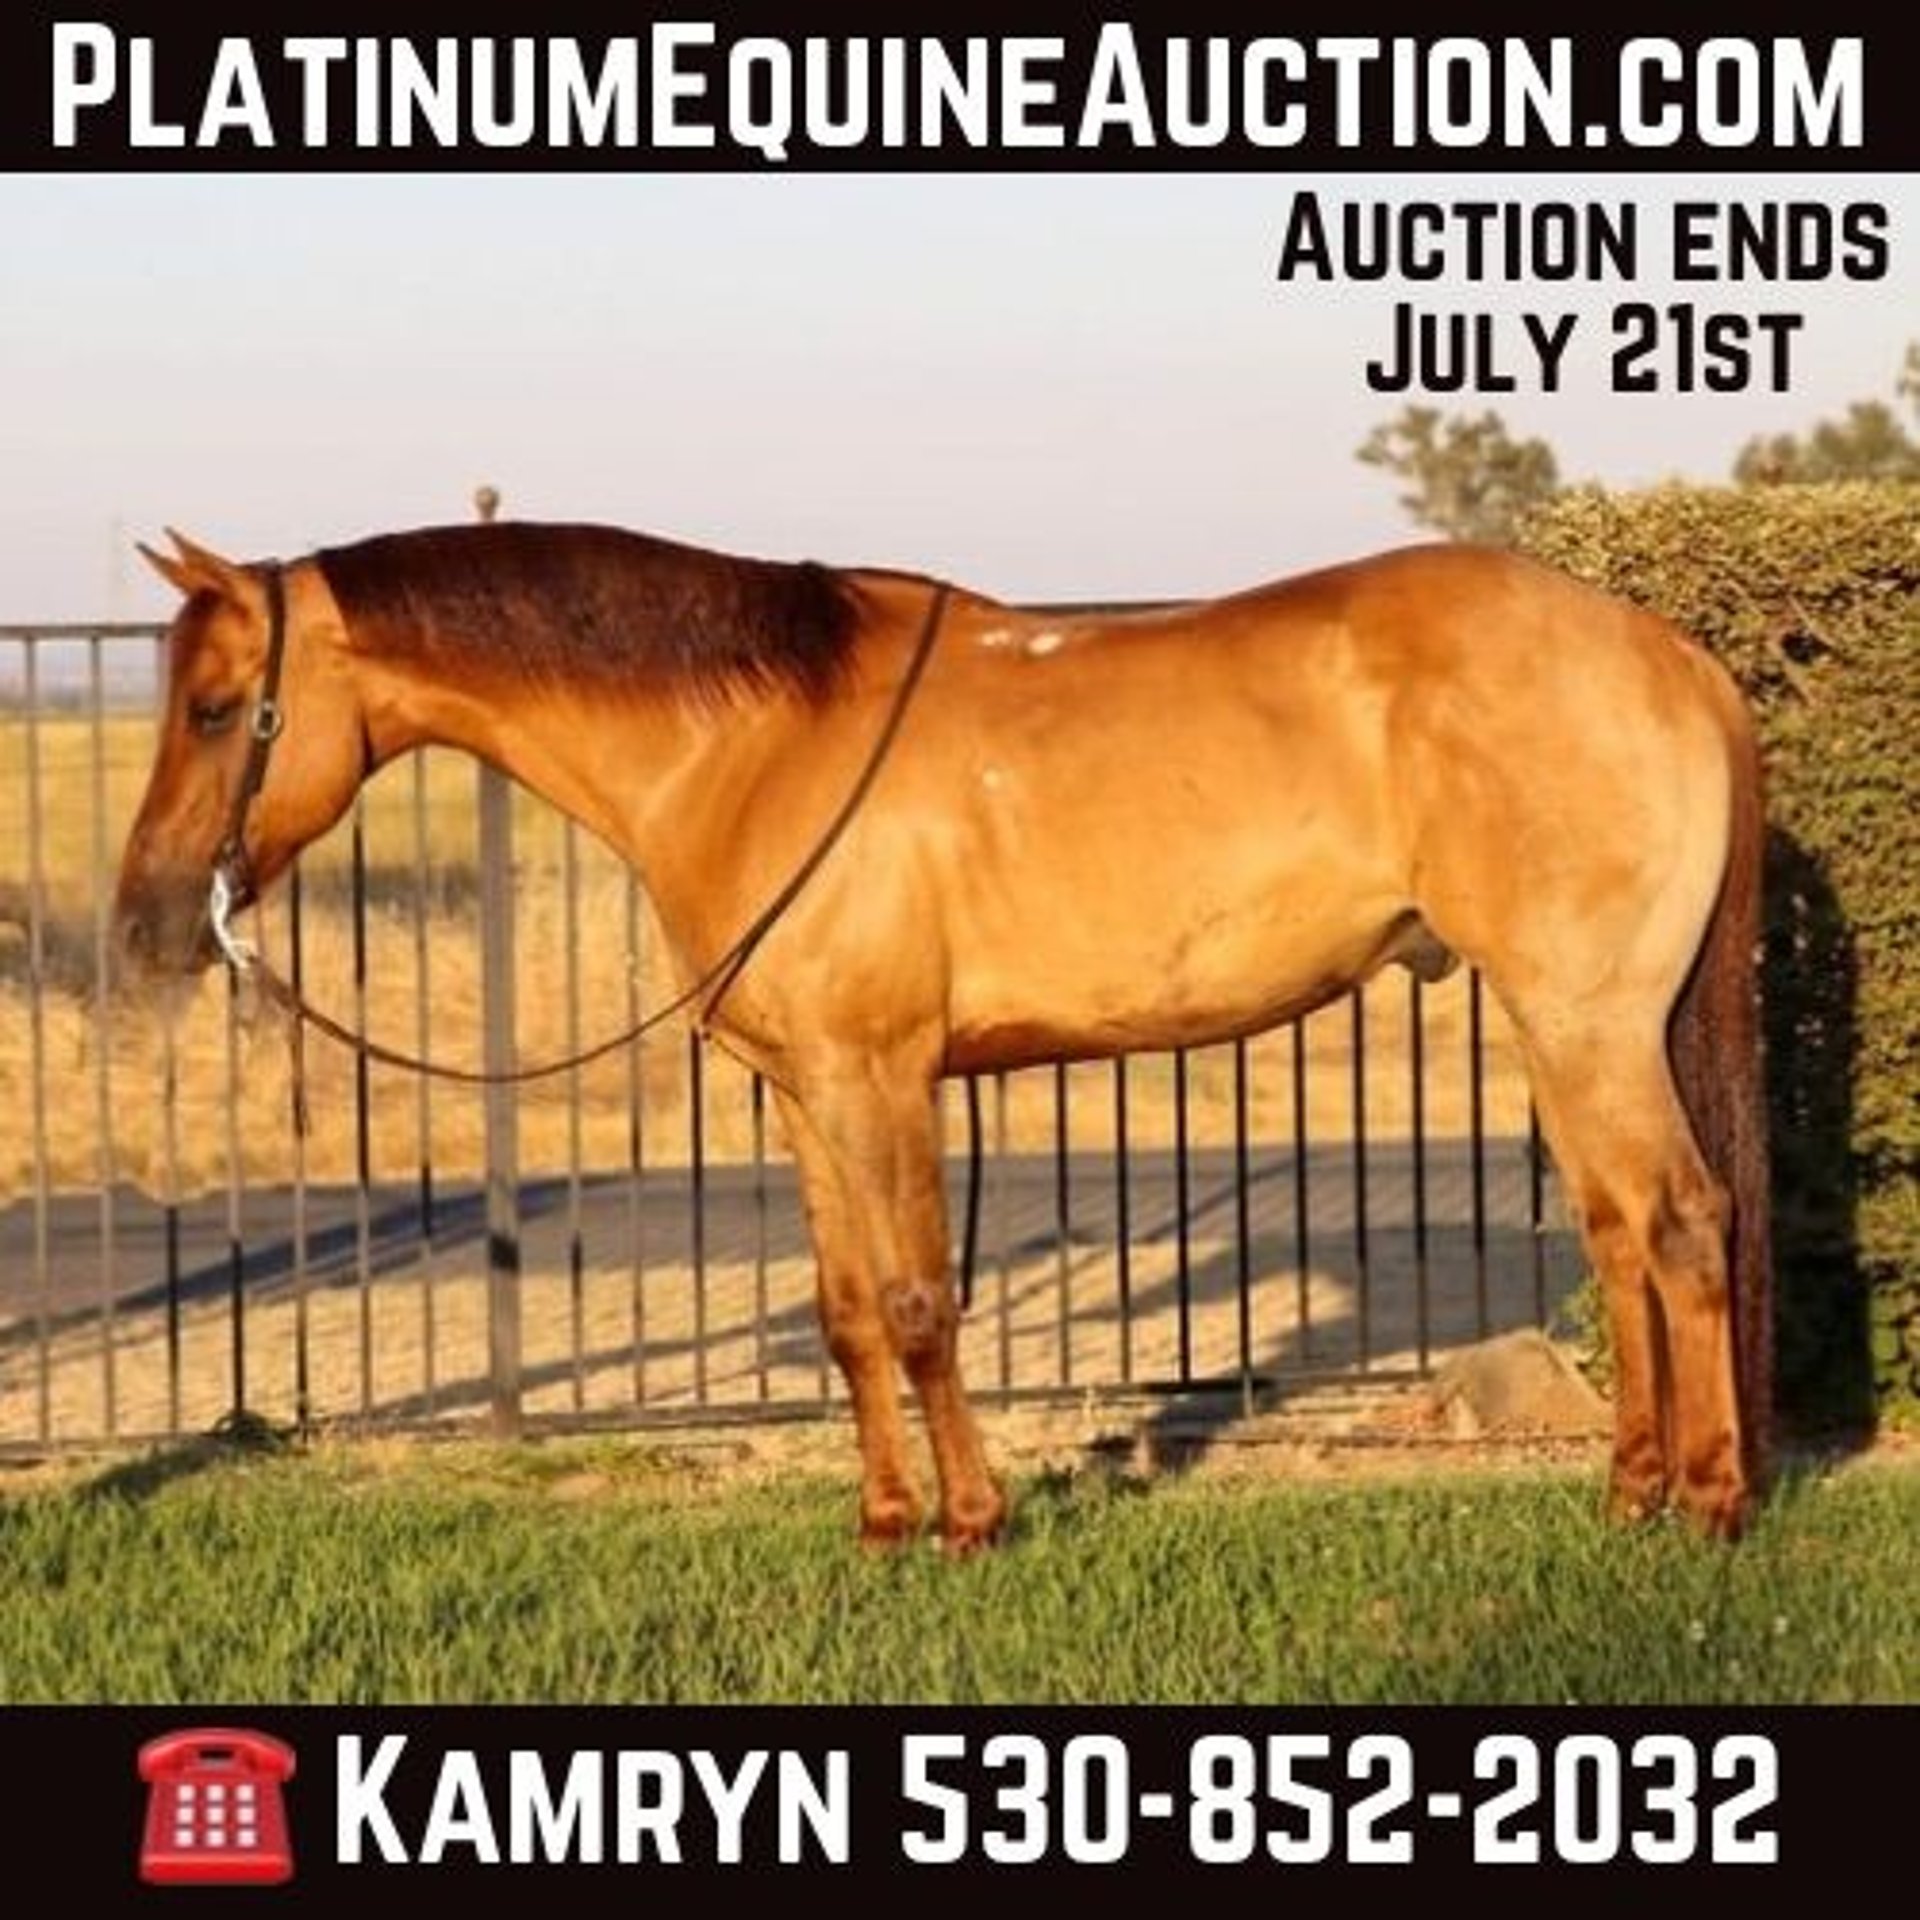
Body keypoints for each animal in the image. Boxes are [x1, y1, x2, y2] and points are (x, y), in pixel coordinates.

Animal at [114, 522, 1772, 1549]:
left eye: (216, 707)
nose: (144, 924)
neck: (754, 743)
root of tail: (1666, 653)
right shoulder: (805, 1095)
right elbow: (850, 1314)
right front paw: (885, 1524)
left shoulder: (882, 1078)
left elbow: (919, 1305)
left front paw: (972, 1526)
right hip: (1563, 1022)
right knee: (1621, 1233)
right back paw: (1632, 1492)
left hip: (1591, 1016)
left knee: (1684, 1224)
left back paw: (1713, 1506)